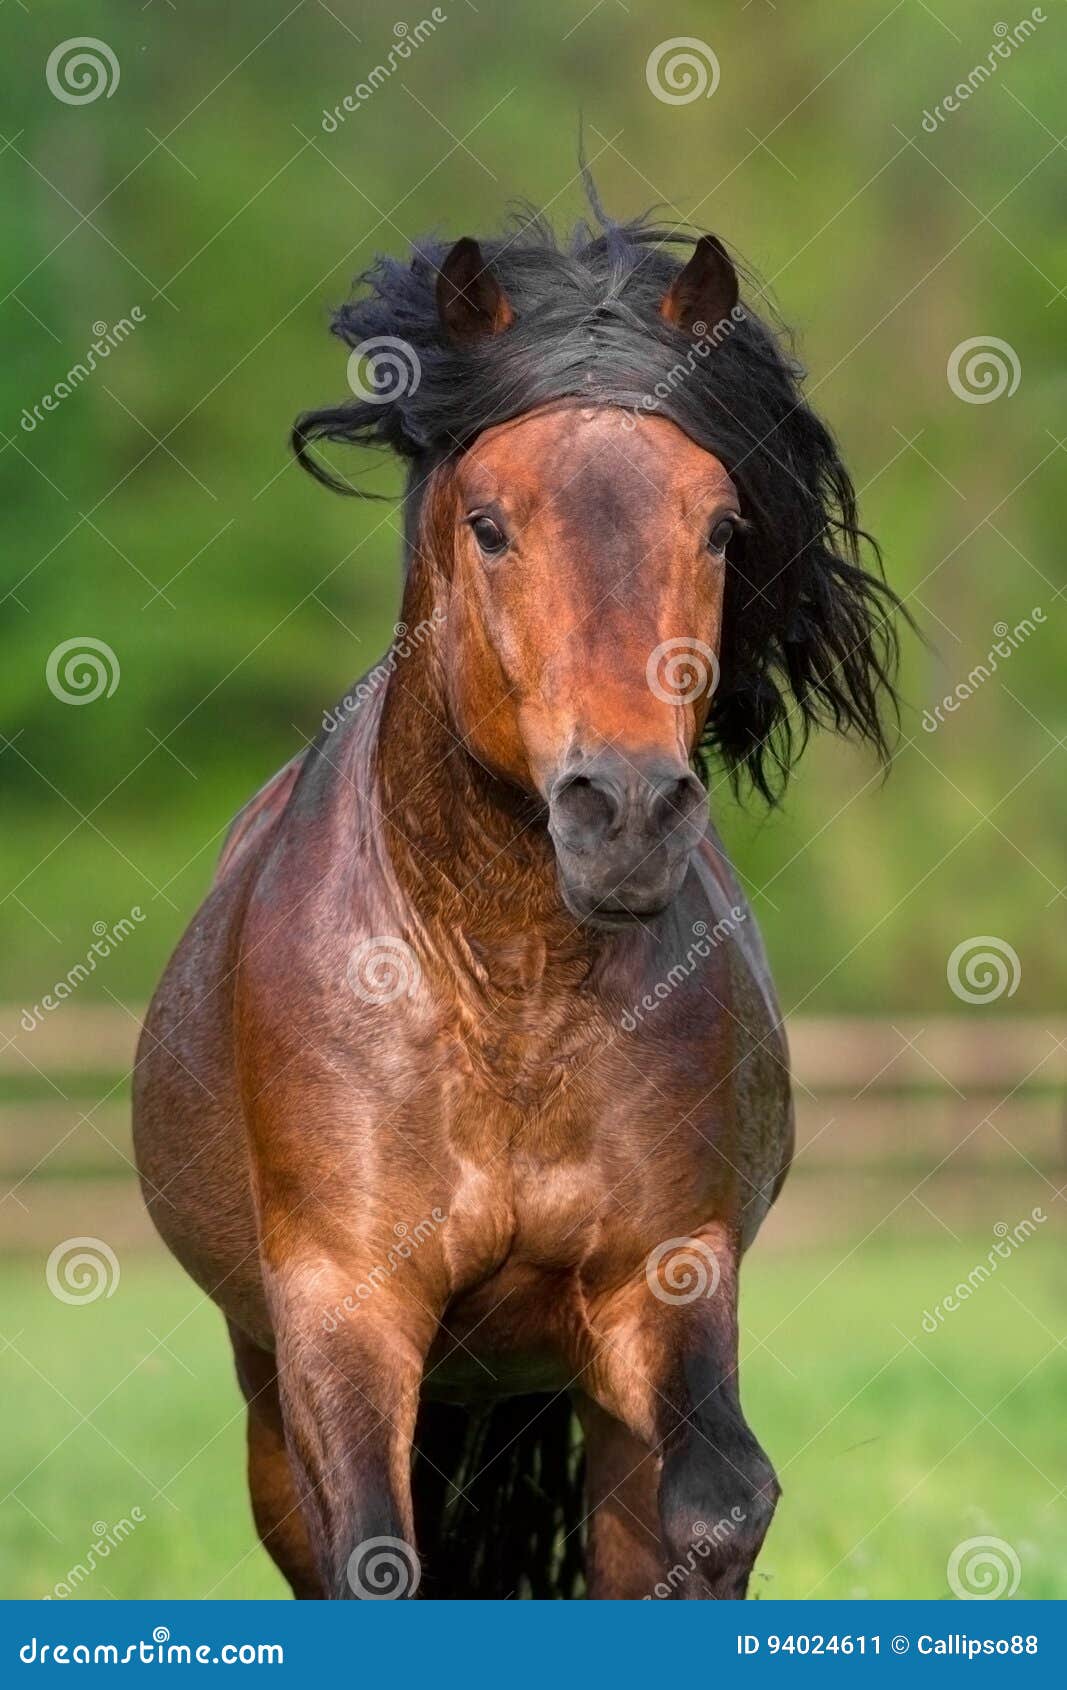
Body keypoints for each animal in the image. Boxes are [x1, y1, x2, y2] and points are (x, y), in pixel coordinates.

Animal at [133, 206, 902, 1600]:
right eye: (488, 523)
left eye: (720, 526)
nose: (627, 813)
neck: (505, 989)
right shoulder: (341, 1298)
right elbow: (375, 1548)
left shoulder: (663, 1269)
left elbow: (714, 1507)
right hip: (267, 1383)